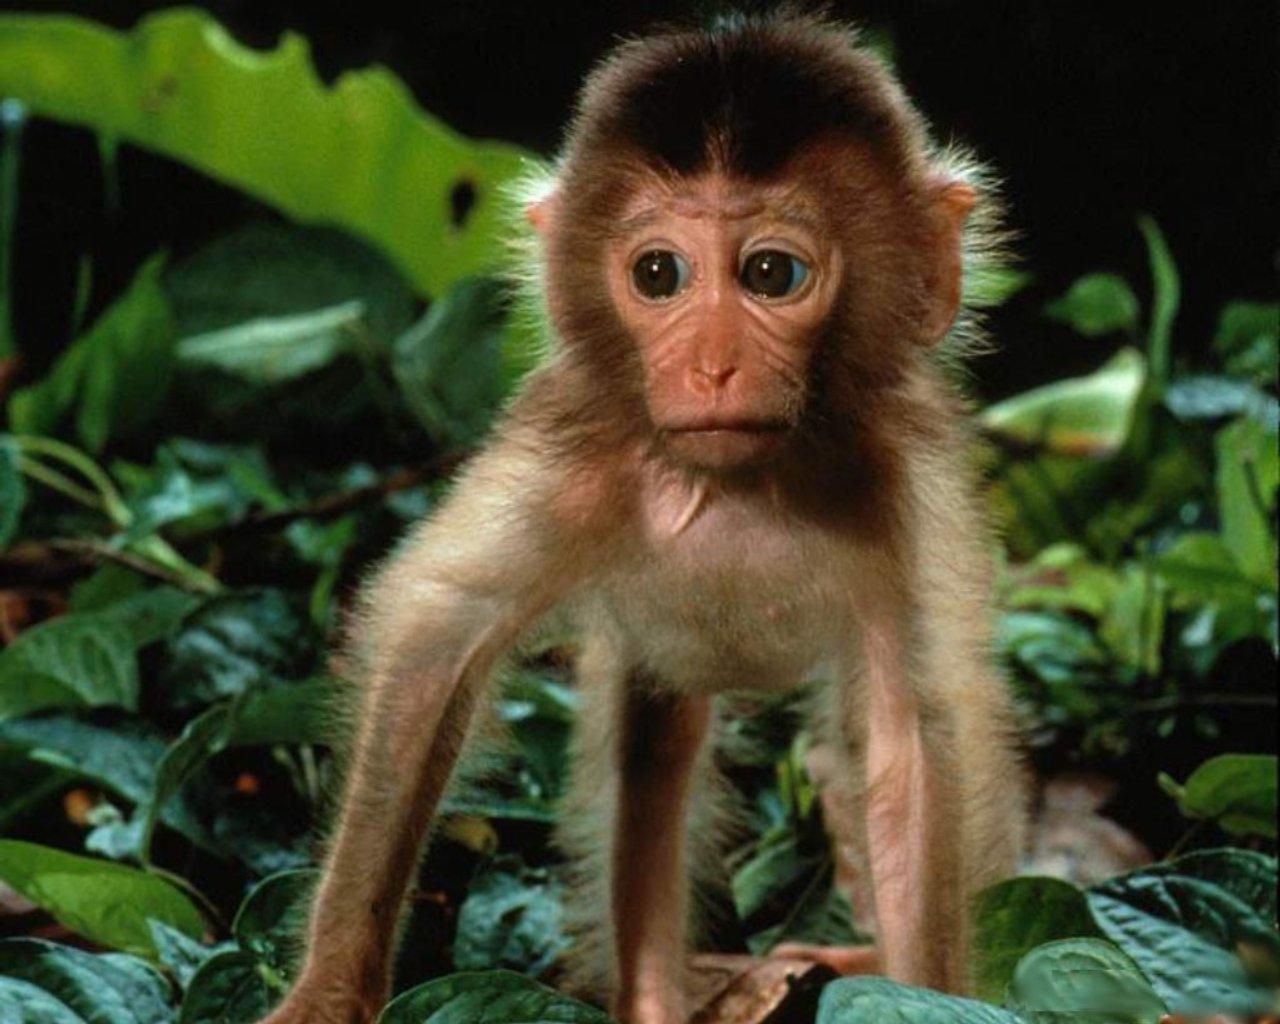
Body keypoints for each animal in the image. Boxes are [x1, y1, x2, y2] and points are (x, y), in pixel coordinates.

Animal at [259, 11, 1026, 1024]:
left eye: (772, 272)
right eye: (659, 274)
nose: (710, 366)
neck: (741, 485)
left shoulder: (901, 485)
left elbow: (909, 751)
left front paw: (922, 994)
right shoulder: (570, 460)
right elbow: (434, 644)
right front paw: (330, 987)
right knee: (652, 757)